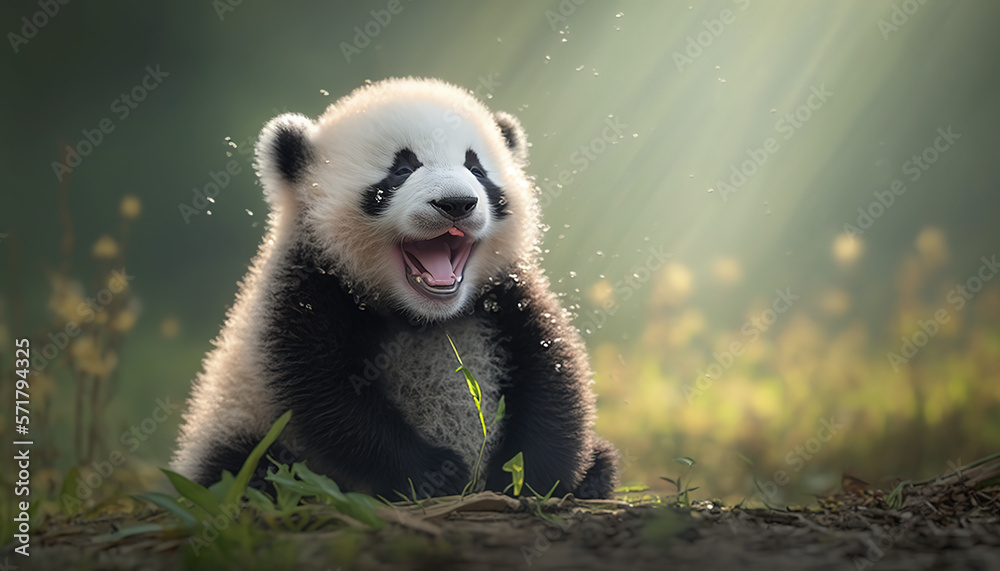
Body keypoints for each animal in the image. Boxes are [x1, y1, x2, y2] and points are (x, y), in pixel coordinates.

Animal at [171, 77, 619, 500]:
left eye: (476, 169)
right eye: (402, 170)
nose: (457, 204)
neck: (426, 317)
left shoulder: (505, 292)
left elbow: (553, 374)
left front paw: (529, 479)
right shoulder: (306, 286)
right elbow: (326, 395)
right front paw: (436, 474)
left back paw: (596, 475)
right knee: (246, 470)